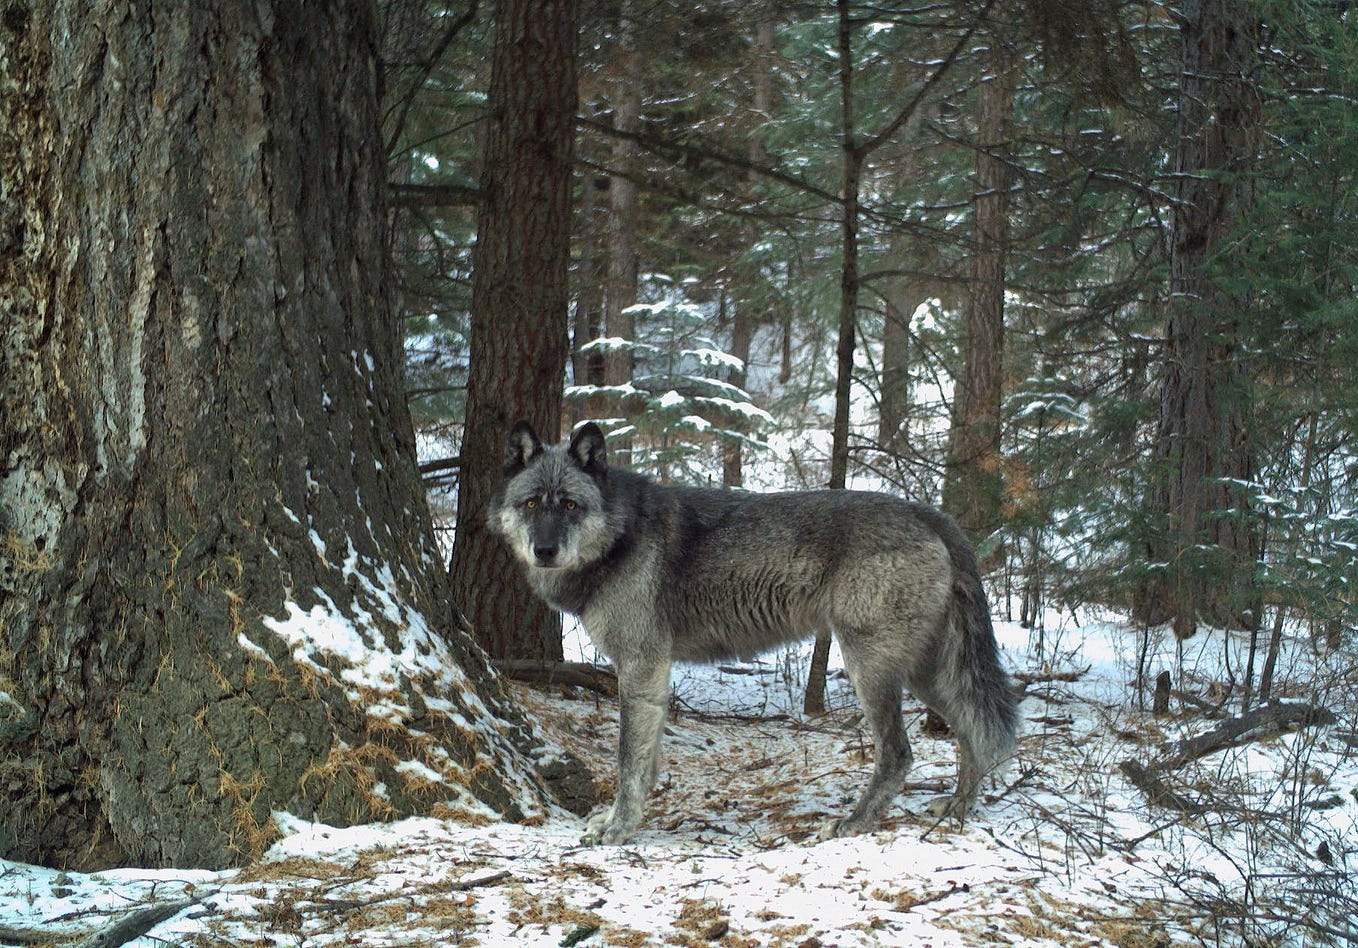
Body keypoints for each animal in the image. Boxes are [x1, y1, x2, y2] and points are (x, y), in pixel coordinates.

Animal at [488, 421, 1018, 846]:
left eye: (570, 505)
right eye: (531, 503)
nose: (545, 550)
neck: (622, 536)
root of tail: (933, 516)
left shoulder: (640, 668)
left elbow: (627, 763)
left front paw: (619, 830)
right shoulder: (651, 676)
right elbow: (647, 759)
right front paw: (624, 819)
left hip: (871, 670)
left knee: (899, 754)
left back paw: (853, 824)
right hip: (926, 675)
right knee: (971, 733)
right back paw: (957, 809)